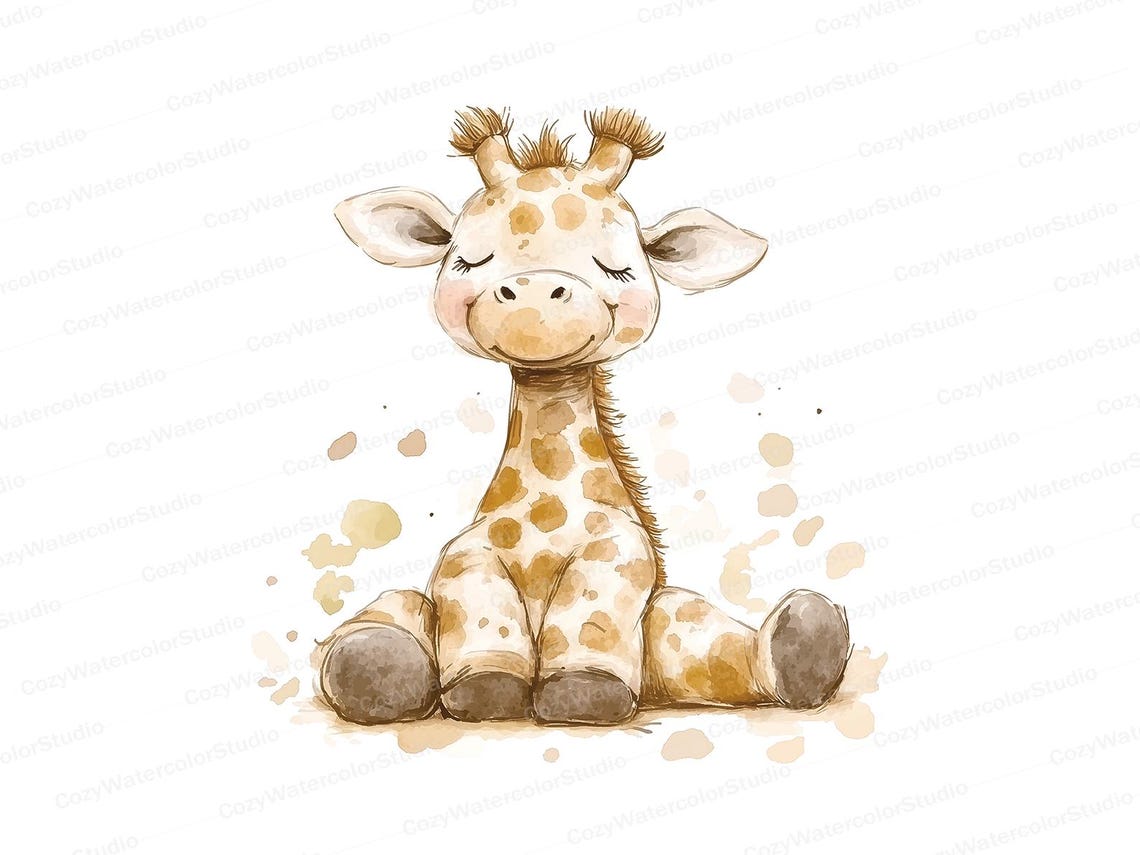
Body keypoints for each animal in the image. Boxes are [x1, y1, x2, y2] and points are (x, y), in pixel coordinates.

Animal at [315, 107, 851, 726]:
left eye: (618, 269)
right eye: (467, 259)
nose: (531, 294)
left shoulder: (619, 556)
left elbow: (592, 617)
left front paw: (584, 693)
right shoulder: (466, 559)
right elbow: (476, 611)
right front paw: (487, 688)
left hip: (667, 626)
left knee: (699, 637)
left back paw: (805, 640)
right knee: (399, 607)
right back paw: (373, 664)